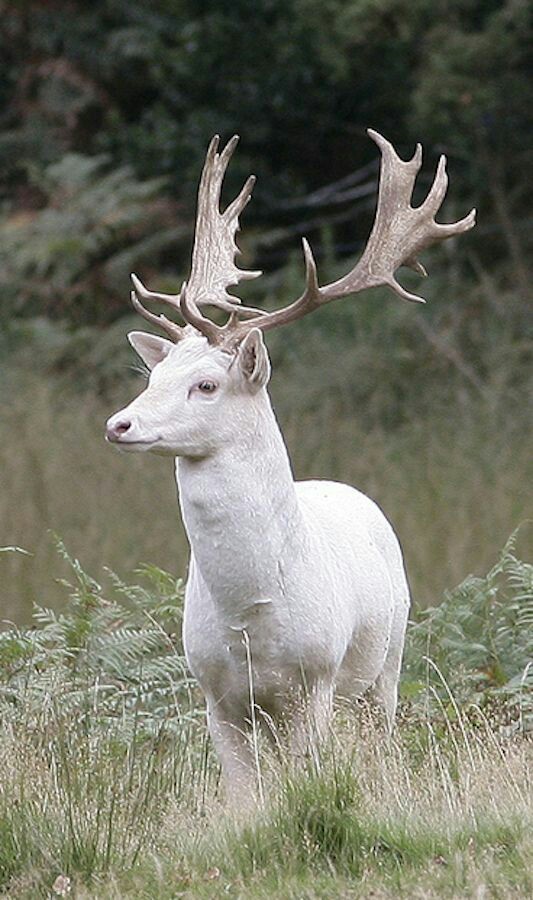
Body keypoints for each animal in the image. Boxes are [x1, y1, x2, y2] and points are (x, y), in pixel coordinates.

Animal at [106, 130, 475, 802]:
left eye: (206, 385)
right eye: (153, 376)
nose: (119, 424)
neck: (250, 618)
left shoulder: (316, 681)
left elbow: (310, 777)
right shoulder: (214, 693)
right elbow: (244, 798)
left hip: (387, 659)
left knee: (381, 736)